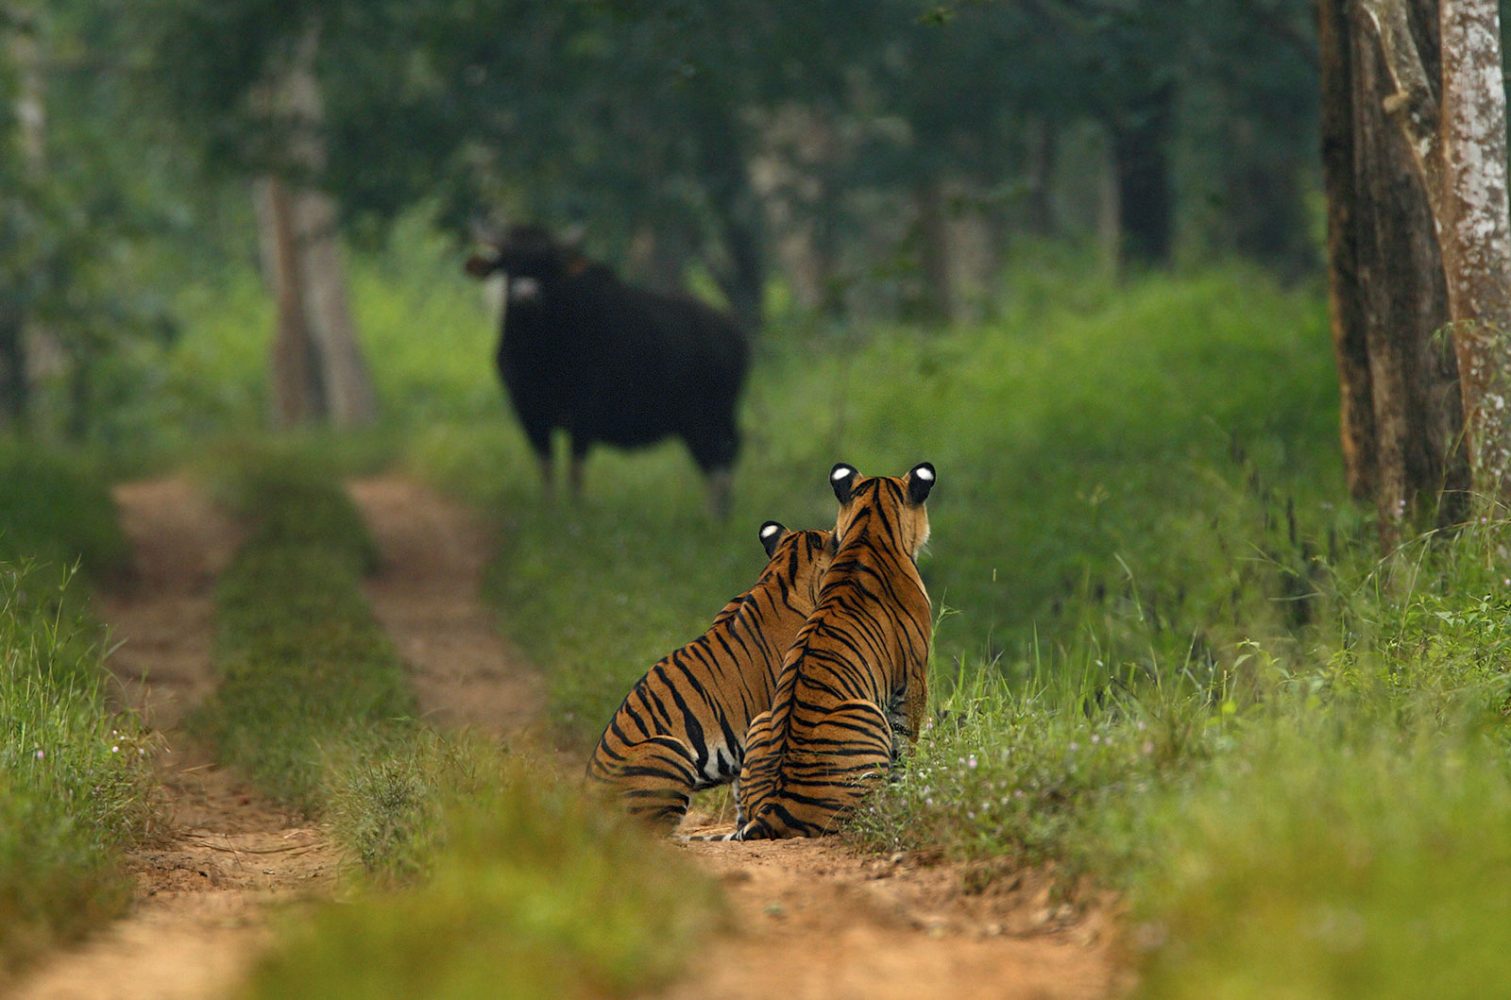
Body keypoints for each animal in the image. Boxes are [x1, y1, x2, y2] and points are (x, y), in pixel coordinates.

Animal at [708, 461, 935, 841]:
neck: (869, 529)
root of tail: (774, 808)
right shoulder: (914, 677)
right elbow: (906, 743)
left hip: (761, 718)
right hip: (866, 711)